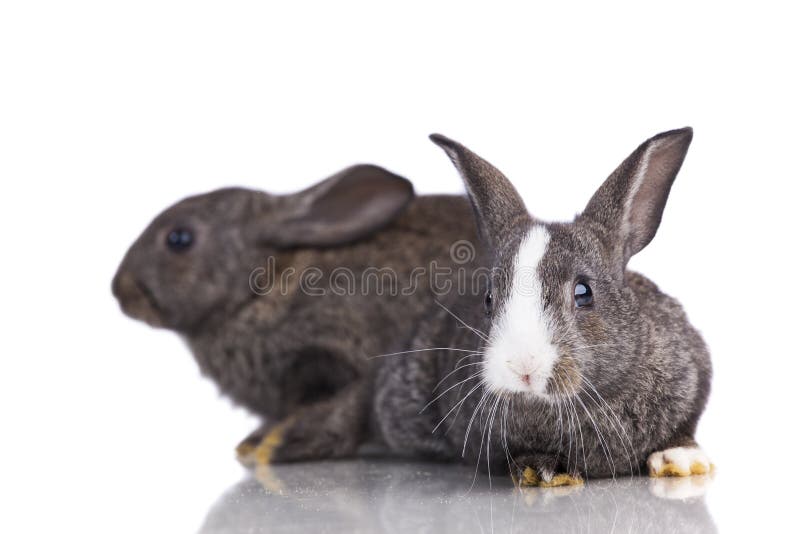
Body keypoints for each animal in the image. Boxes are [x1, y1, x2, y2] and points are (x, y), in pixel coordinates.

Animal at [112, 163, 482, 464]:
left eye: (179, 238)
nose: (119, 291)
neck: (263, 285)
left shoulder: (350, 353)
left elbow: (348, 407)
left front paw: (285, 446)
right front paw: (257, 441)